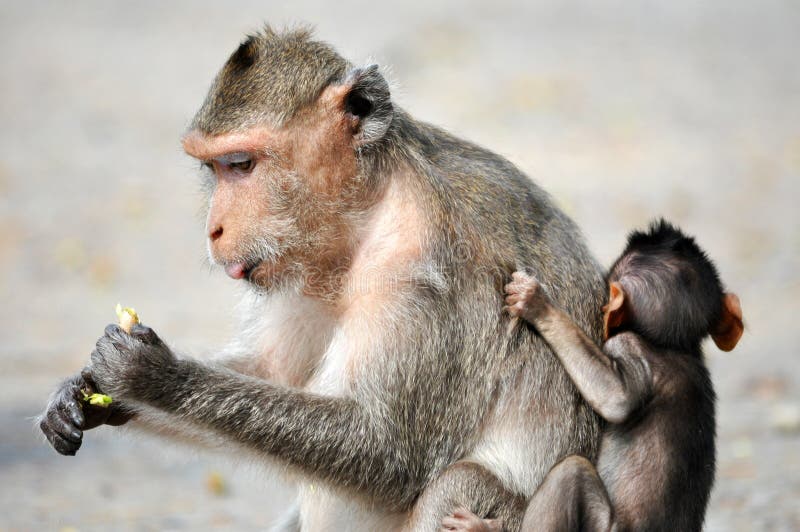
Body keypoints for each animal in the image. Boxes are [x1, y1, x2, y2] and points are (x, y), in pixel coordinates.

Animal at [39, 26, 607, 531]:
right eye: (213, 169)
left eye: (240, 164)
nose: (213, 230)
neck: (371, 203)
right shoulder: (300, 262)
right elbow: (274, 371)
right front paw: (82, 393)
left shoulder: (420, 275)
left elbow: (387, 450)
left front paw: (155, 376)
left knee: (459, 483)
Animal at [443, 220, 744, 532]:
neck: (676, 347)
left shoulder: (627, 344)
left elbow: (616, 399)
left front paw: (539, 307)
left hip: (603, 527)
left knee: (570, 471)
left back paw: (486, 526)